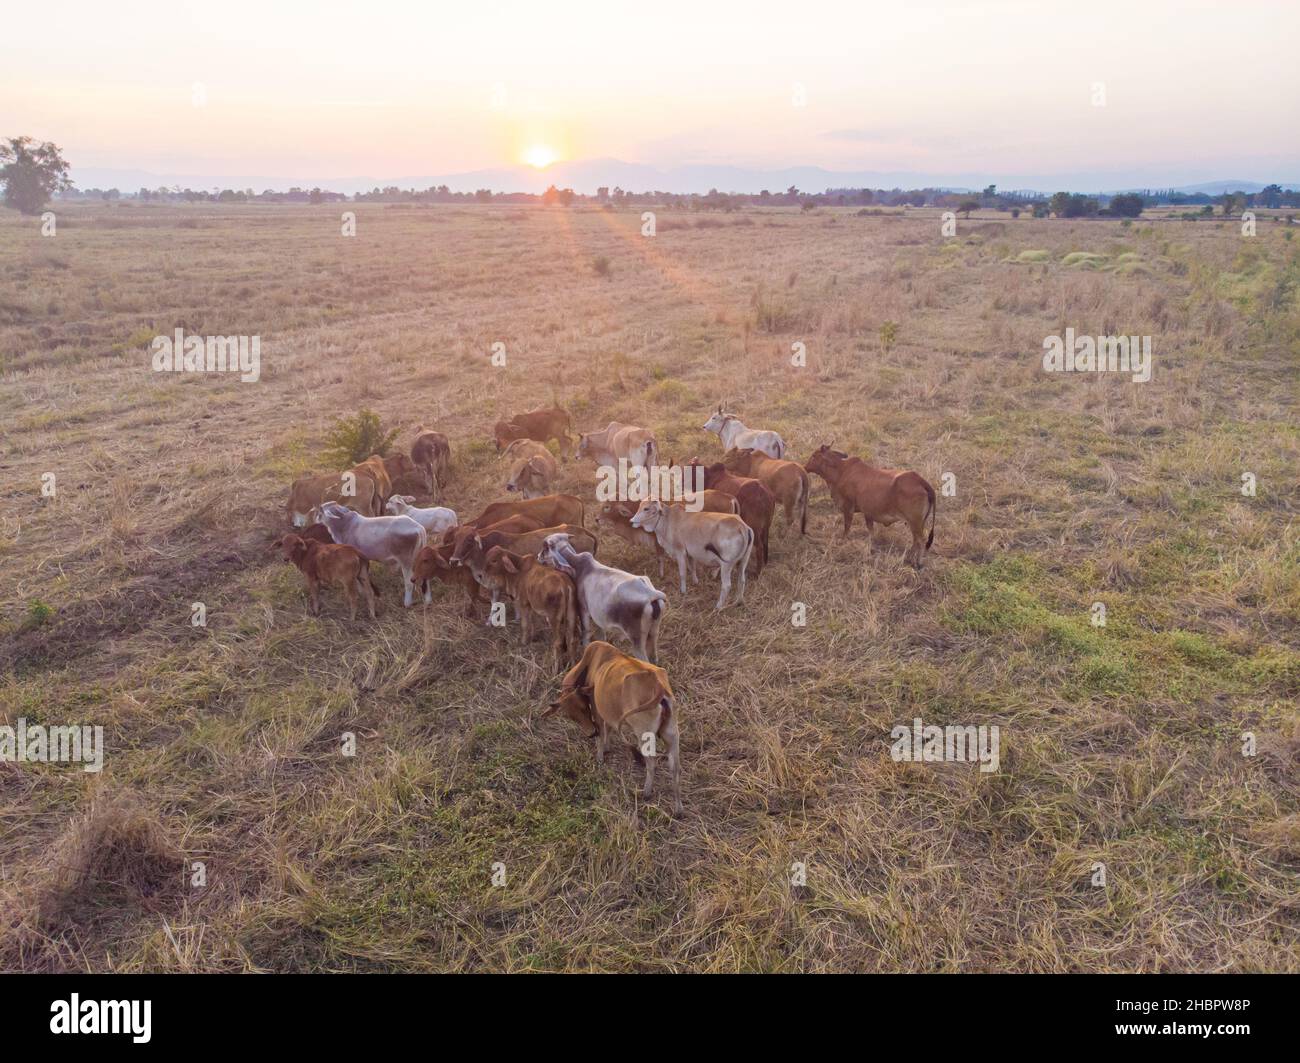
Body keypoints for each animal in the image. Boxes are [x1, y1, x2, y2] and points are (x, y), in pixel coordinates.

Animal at [537, 533, 666, 663]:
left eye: (545, 548)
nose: (538, 557)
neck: (578, 566)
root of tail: (651, 594)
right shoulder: (598, 617)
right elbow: (601, 636)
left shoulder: (583, 609)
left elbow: (586, 633)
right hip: (654, 633)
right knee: (654, 659)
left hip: (637, 640)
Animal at [541, 640, 682, 815]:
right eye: (570, 715)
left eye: (583, 707)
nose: (590, 733)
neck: (591, 665)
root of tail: (659, 687)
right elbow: (607, 729)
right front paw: (607, 748)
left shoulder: (597, 711)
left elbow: (602, 733)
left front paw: (600, 757)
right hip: (671, 734)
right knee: (675, 768)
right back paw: (678, 809)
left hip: (644, 735)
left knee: (651, 762)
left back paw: (646, 793)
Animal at [804, 444, 936, 568]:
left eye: (814, 456)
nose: (805, 467)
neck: (841, 471)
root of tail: (920, 481)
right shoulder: (868, 513)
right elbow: (871, 531)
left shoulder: (848, 507)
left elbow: (847, 527)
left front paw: (843, 540)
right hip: (917, 523)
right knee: (916, 541)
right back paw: (909, 558)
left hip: (915, 522)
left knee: (920, 541)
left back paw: (917, 563)